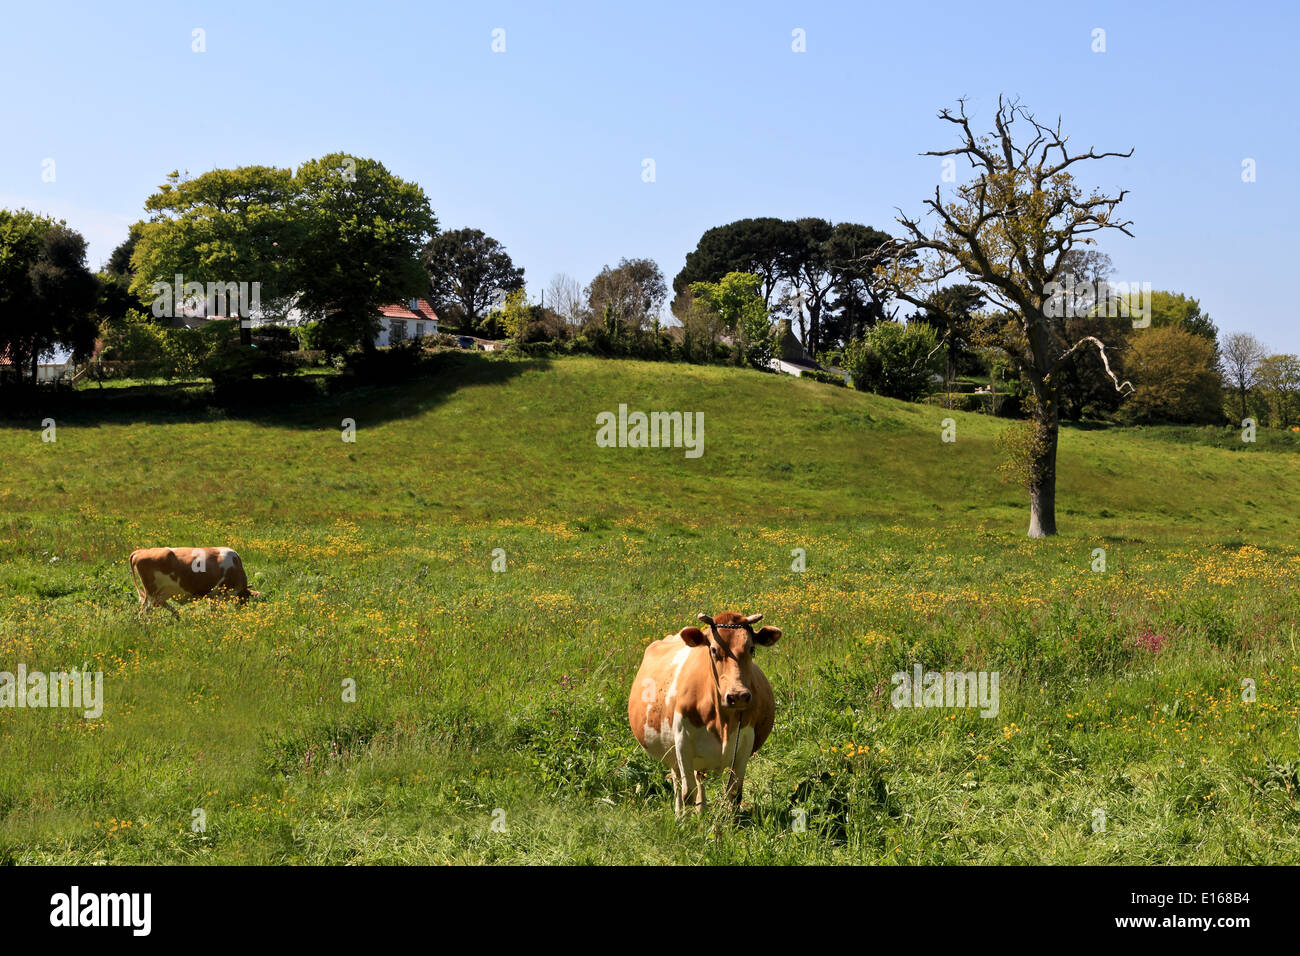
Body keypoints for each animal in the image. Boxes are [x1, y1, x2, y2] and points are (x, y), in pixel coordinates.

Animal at [129, 547, 259, 616]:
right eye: (247, 599)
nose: (243, 612)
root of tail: (140, 551)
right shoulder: (221, 593)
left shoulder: (212, 596)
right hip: (151, 592)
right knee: (146, 609)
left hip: (158, 593)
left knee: (158, 604)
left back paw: (177, 615)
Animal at [628, 611, 782, 814]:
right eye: (714, 650)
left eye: (751, 649)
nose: (738, 696)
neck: (722, 721)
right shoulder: (682, 742)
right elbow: (688, 794)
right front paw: (686, 821)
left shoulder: (744, 744)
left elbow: (734, 795)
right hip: (672, 754)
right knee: (678, 783)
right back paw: (680, 814)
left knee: (699, 778)